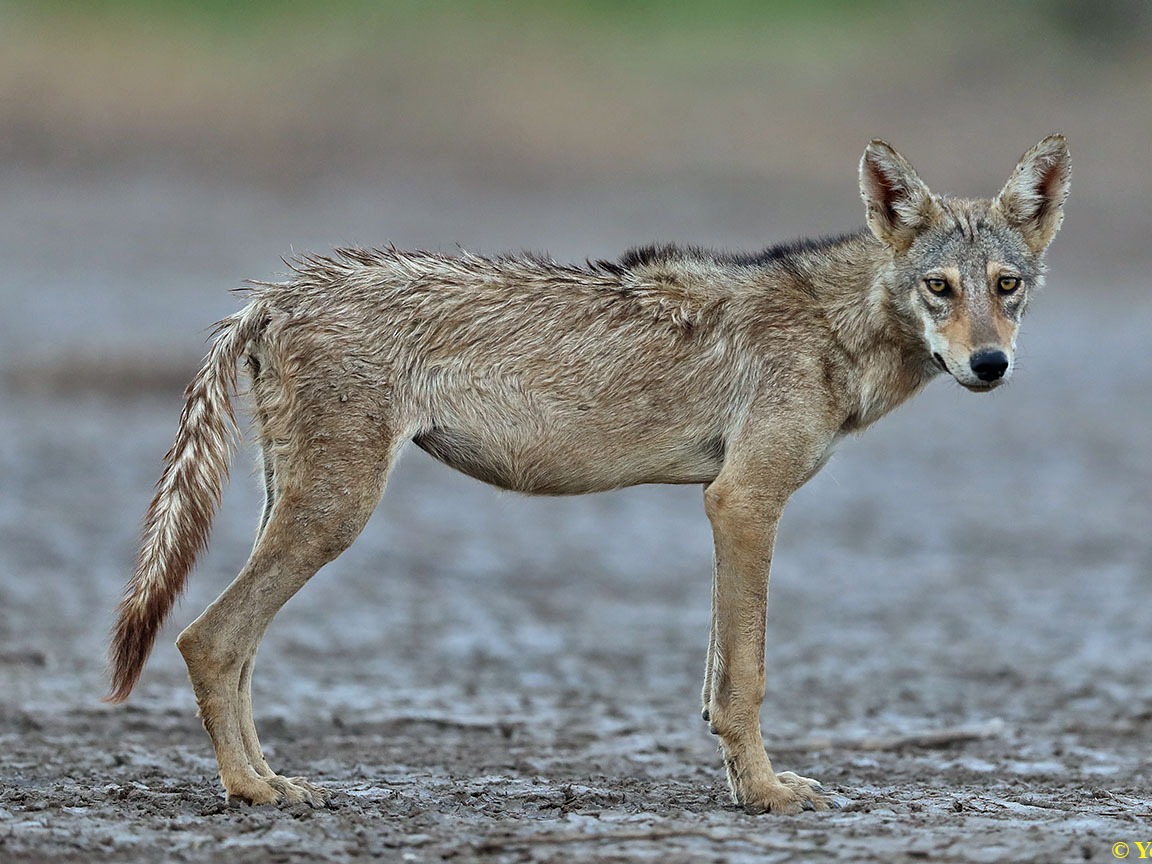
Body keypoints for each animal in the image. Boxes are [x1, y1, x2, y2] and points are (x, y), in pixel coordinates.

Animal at [107, 136, 1070, 814]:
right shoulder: (744, 502)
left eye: (1007, 286)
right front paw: (765, 795)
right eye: (941, 288)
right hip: (335, 516)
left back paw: (269, 781)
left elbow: (716, 682)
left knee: (234, 648)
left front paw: (744, 786)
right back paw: (254, 791)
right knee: (207, 639)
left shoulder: (728, 508)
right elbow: (747, 679)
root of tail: (280, 290)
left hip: (297, 508)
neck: (837, 326)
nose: (989, 364)